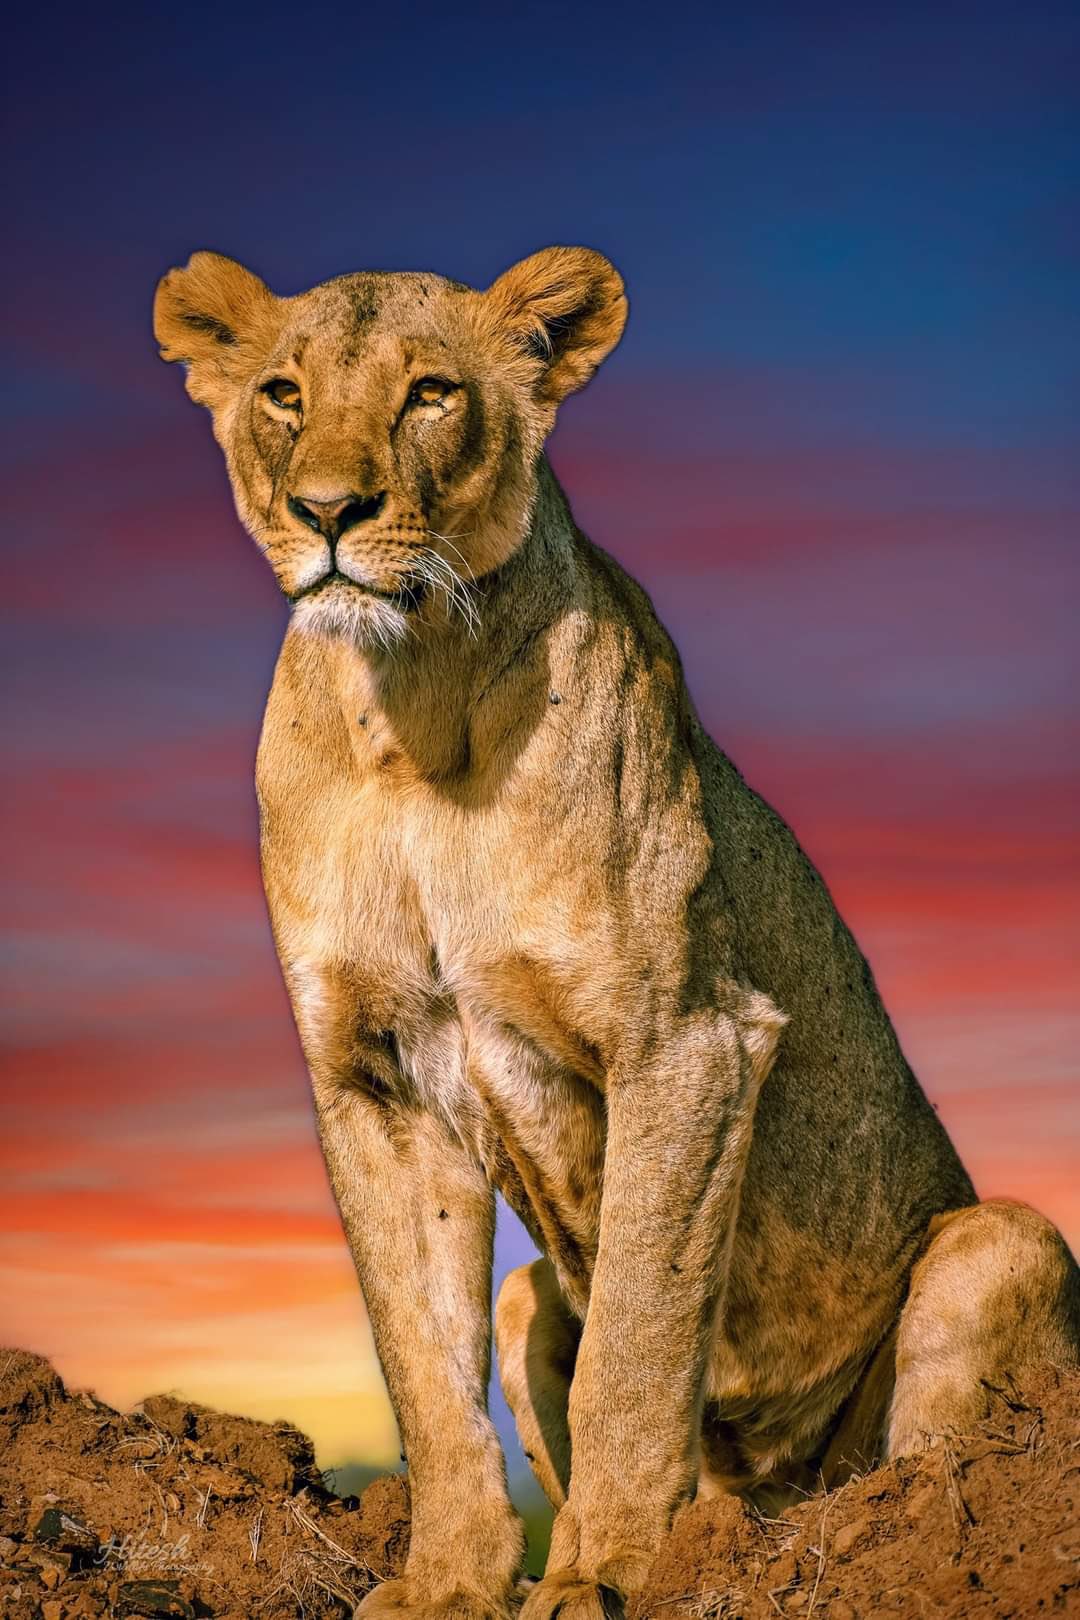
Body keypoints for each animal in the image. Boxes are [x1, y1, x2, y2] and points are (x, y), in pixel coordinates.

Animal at [154, 245, 1080, 1619]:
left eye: (430, 393)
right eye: (282, 393)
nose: (327, 511)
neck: (407, 707)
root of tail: (773, 1493)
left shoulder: (687, 1038)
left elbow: (640, 1342)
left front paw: (603, 1575)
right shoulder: (375, 1078)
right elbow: (420, 1364)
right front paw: (449, 1583)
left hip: (995, 1244)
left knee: (908, 1467)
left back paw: (828, 1539)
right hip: (533, 1286)